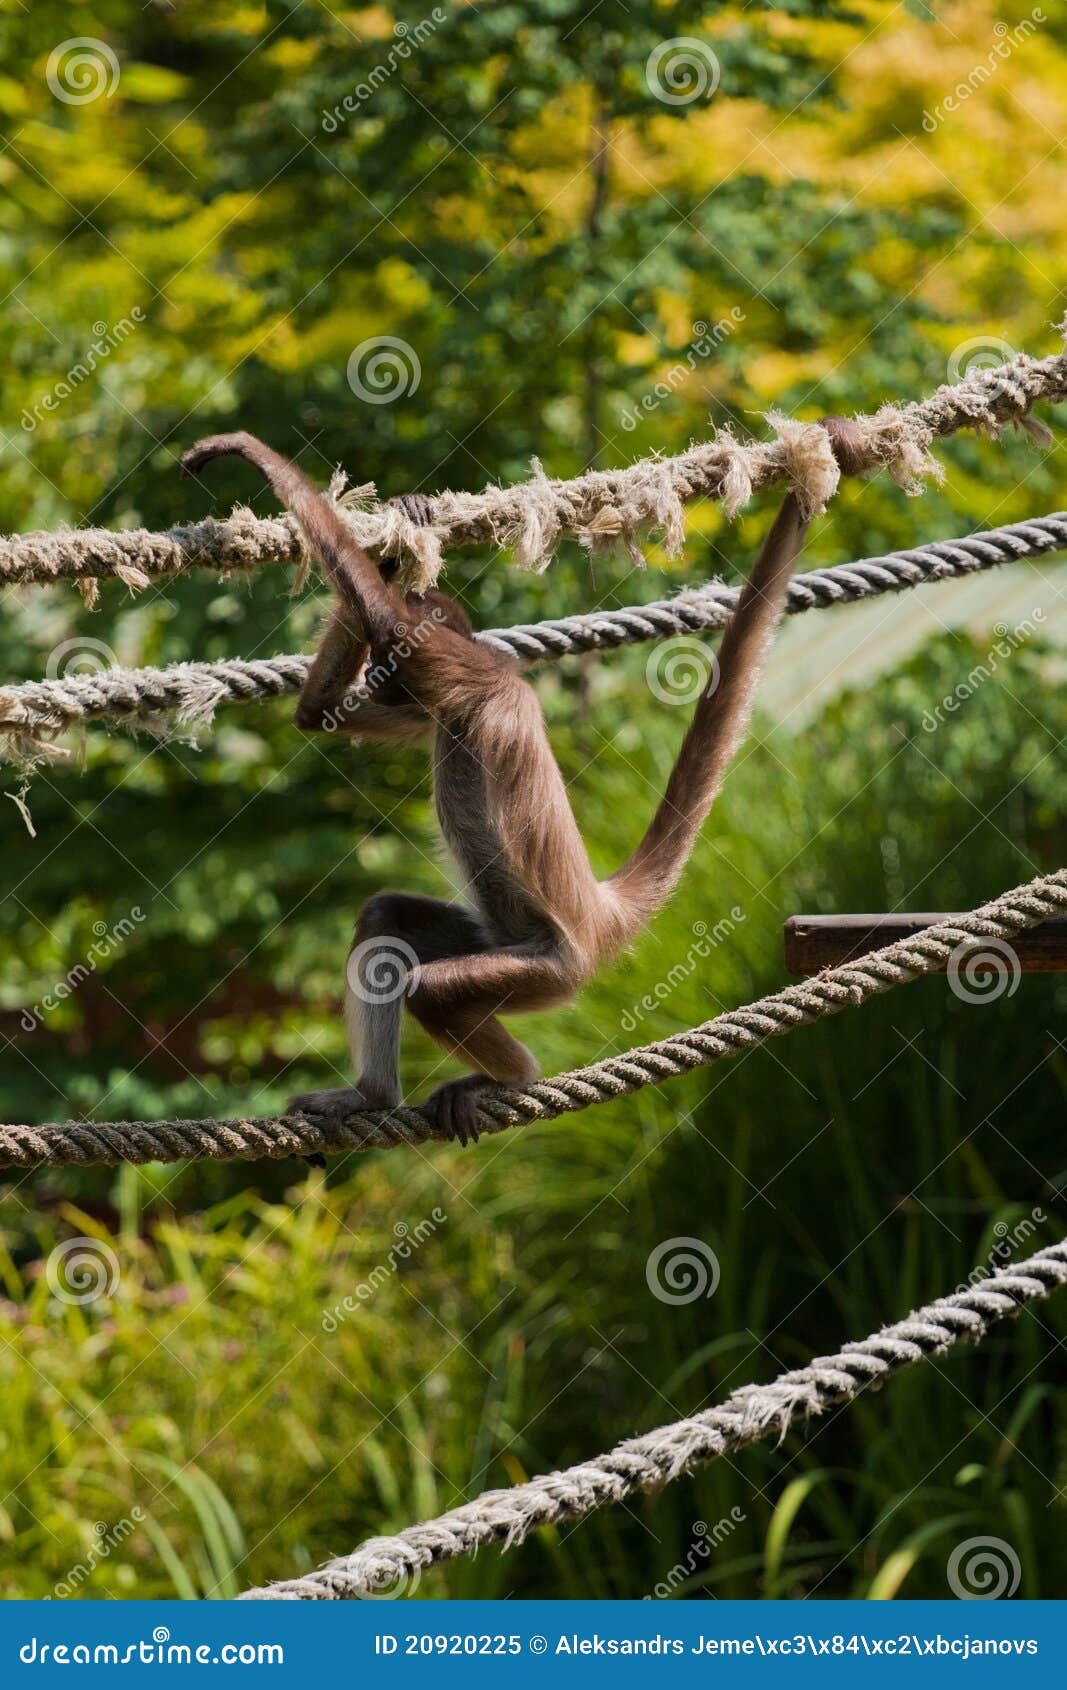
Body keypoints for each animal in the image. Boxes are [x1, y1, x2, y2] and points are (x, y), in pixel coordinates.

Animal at [180, 431, 813, 1148]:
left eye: (384, 666)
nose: (372, 680)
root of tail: (598, 913)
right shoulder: (431, 705)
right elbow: (319, 714)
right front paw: (404, 537)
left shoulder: (451, 670)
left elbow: (382, 616)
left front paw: (250, 453)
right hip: (493, 939)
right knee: (387, 919)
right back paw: (373, 1095)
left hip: (544, 969)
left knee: (430, 988)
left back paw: (507, 1080)